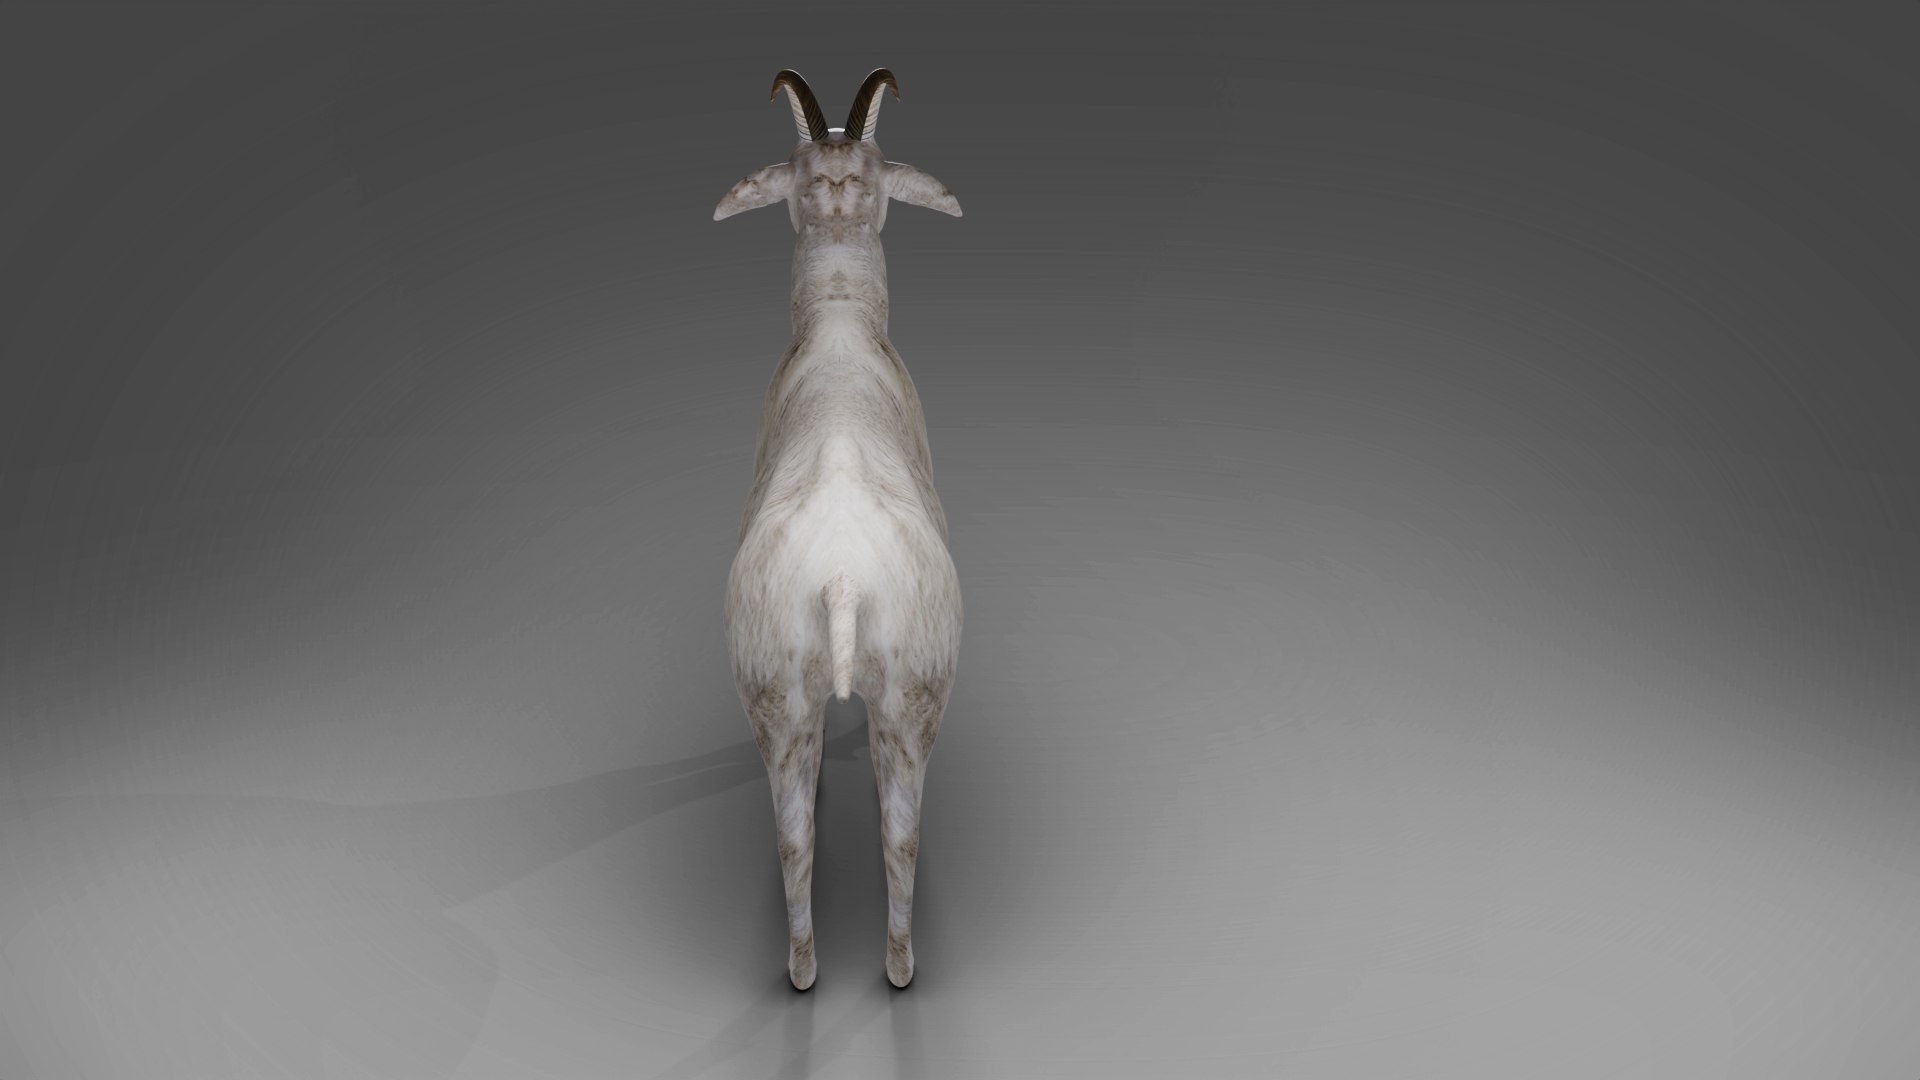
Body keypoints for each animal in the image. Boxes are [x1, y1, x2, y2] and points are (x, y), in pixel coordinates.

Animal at [715, 68, 963, 990]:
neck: (840, 320)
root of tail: (845, 584)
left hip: (793, 699)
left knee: (809, 838)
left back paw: (825, 973)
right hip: (895, 699)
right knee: (886, 836)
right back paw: (878, 974)